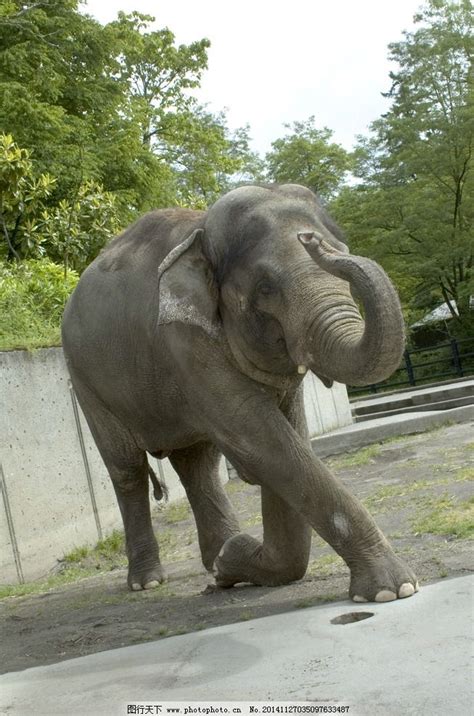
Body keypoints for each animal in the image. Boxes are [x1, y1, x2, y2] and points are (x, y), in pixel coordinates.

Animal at [62, 183, 418, 603]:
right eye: (265, 287)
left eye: (341, 250)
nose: (312, 241)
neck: (199, 231)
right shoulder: (184, 342)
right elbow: (262, 443)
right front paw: (392, 590)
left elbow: (289, 438)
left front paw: (231, 564)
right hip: (86, 380)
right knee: (127, 469)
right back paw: (147, 581)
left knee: (198, 465)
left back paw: (216, 559)